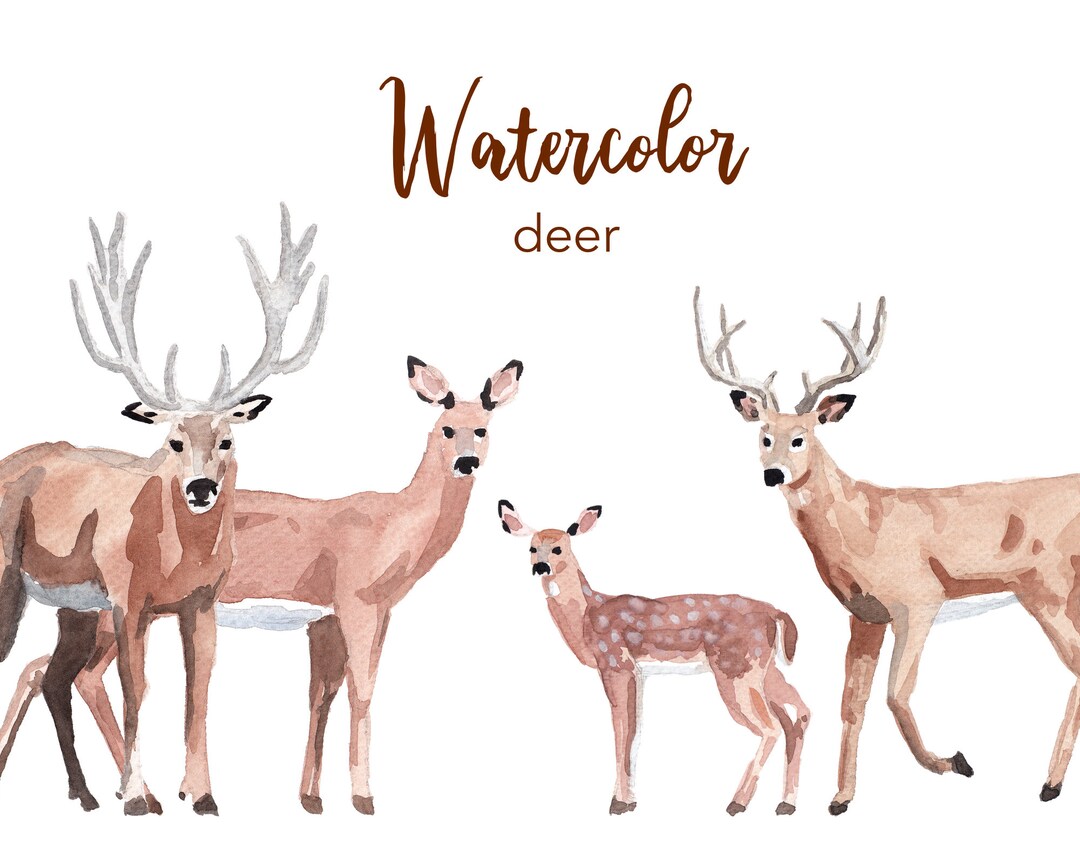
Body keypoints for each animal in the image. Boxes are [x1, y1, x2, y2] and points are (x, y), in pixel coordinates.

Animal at [0, 203, 328, 815]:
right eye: (173, 441)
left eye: (227, 440)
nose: (200, 489)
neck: (177, 557)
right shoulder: (128, 596)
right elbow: (137, 687)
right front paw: (134, 794)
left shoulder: (202, 601)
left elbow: (197, 690)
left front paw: (200, 795)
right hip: (11, 578)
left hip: (73, 606)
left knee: (54, 676)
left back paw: (85, 794)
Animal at [0, 355, 522, 815]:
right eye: (447, 428)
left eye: (483, 427)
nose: (467, 462)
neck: (392, 522)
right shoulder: (358, 606)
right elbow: (362, 691)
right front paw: (363, 799)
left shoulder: (329, 620)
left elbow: (320, 696)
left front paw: (311, 799)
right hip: (113, 613)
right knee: (82, 676)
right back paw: (137, 795)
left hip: (88, 613)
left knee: (46, 670)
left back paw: (110, 793)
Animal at [498, 500, 809, 816]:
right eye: (532, 548)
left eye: (559, 548)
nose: (540, 567)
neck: (587, 615)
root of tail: (776, 613)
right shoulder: (636, 672)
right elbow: (634, 729)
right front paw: (628, 800)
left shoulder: (614, 662)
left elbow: (622, 728)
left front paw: (618, 802)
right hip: (763, 667)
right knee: (798, 713)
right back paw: (786, 804)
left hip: (736, 668)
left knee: (771, 726)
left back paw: (737, 803)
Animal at [692, 288, 1080, 814]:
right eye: (764, 437)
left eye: (802, 437)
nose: (773, 473)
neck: (865, 524)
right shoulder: (865, 614)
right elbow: (851, 703)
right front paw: (840, 798)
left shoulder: (919, 599)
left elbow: (896, 693)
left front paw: (954, 762)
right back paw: (1050, 782)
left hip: (1046, 588)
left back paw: (1049, 784)